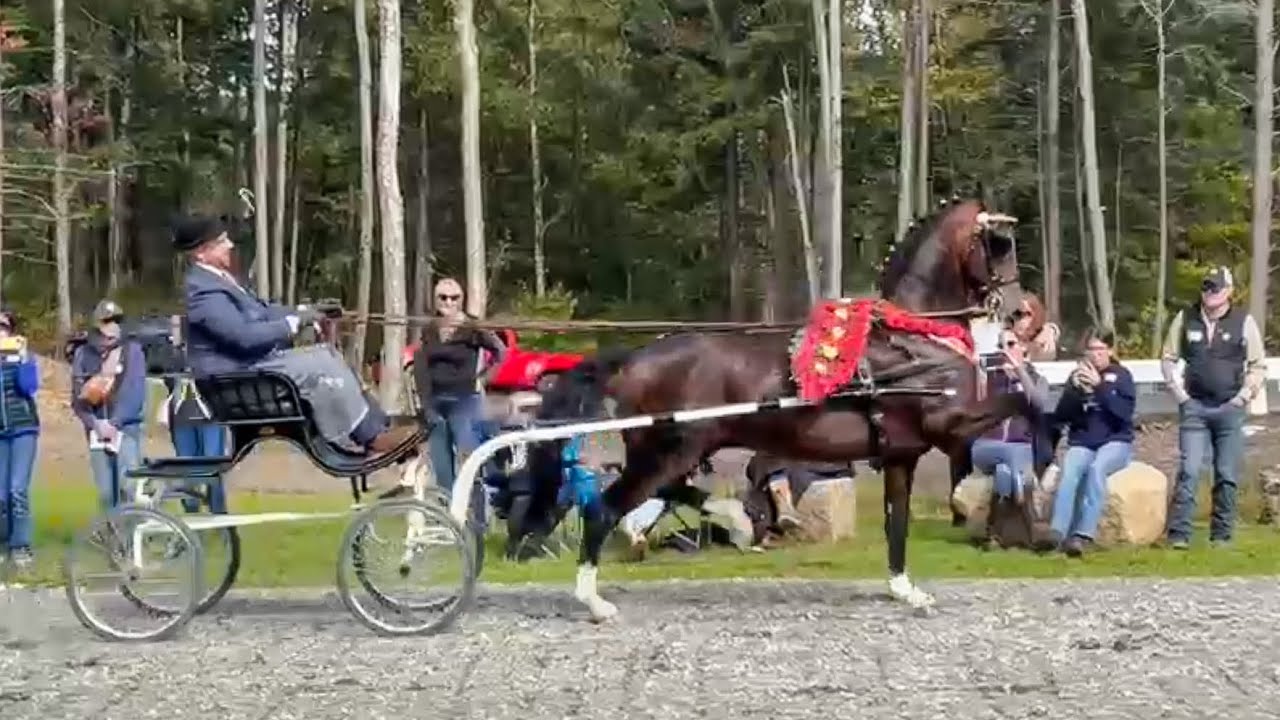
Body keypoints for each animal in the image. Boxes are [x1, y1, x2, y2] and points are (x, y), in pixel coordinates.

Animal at [532, 198, 1030, 622]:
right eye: (999, 245)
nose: (1019, 312)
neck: (910, 338)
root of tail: (635, 359)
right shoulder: (946, 423)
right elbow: (1010, 408)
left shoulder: (900, 454)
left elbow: (898, 521)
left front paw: (904, 589)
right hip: (671, 448)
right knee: (606, 508)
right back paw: (596, 601)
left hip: (675, 448)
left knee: (664, 493)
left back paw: (735, 517)